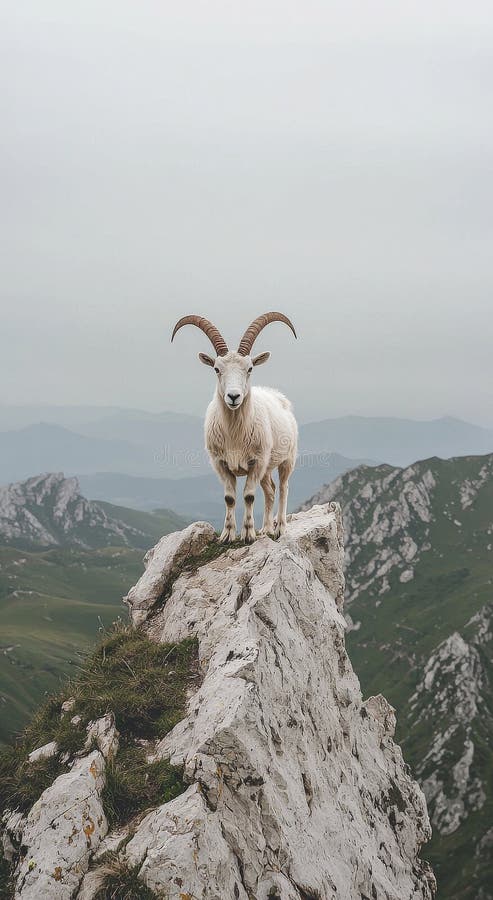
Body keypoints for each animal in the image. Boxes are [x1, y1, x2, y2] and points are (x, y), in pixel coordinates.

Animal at [171, 312, 298, 543]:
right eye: (216, 369)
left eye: (250, 368)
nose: (233, 396)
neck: (235, 435)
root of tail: (278, 396)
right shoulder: (220, 463)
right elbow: (230, 498)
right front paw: (227, 535)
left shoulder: (256, 461)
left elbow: (248, 495)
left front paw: (248, 534)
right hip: (266, 468)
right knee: (270, 490)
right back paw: (266, 529)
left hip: (287, 458)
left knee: (283, 488)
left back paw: (280, 529)